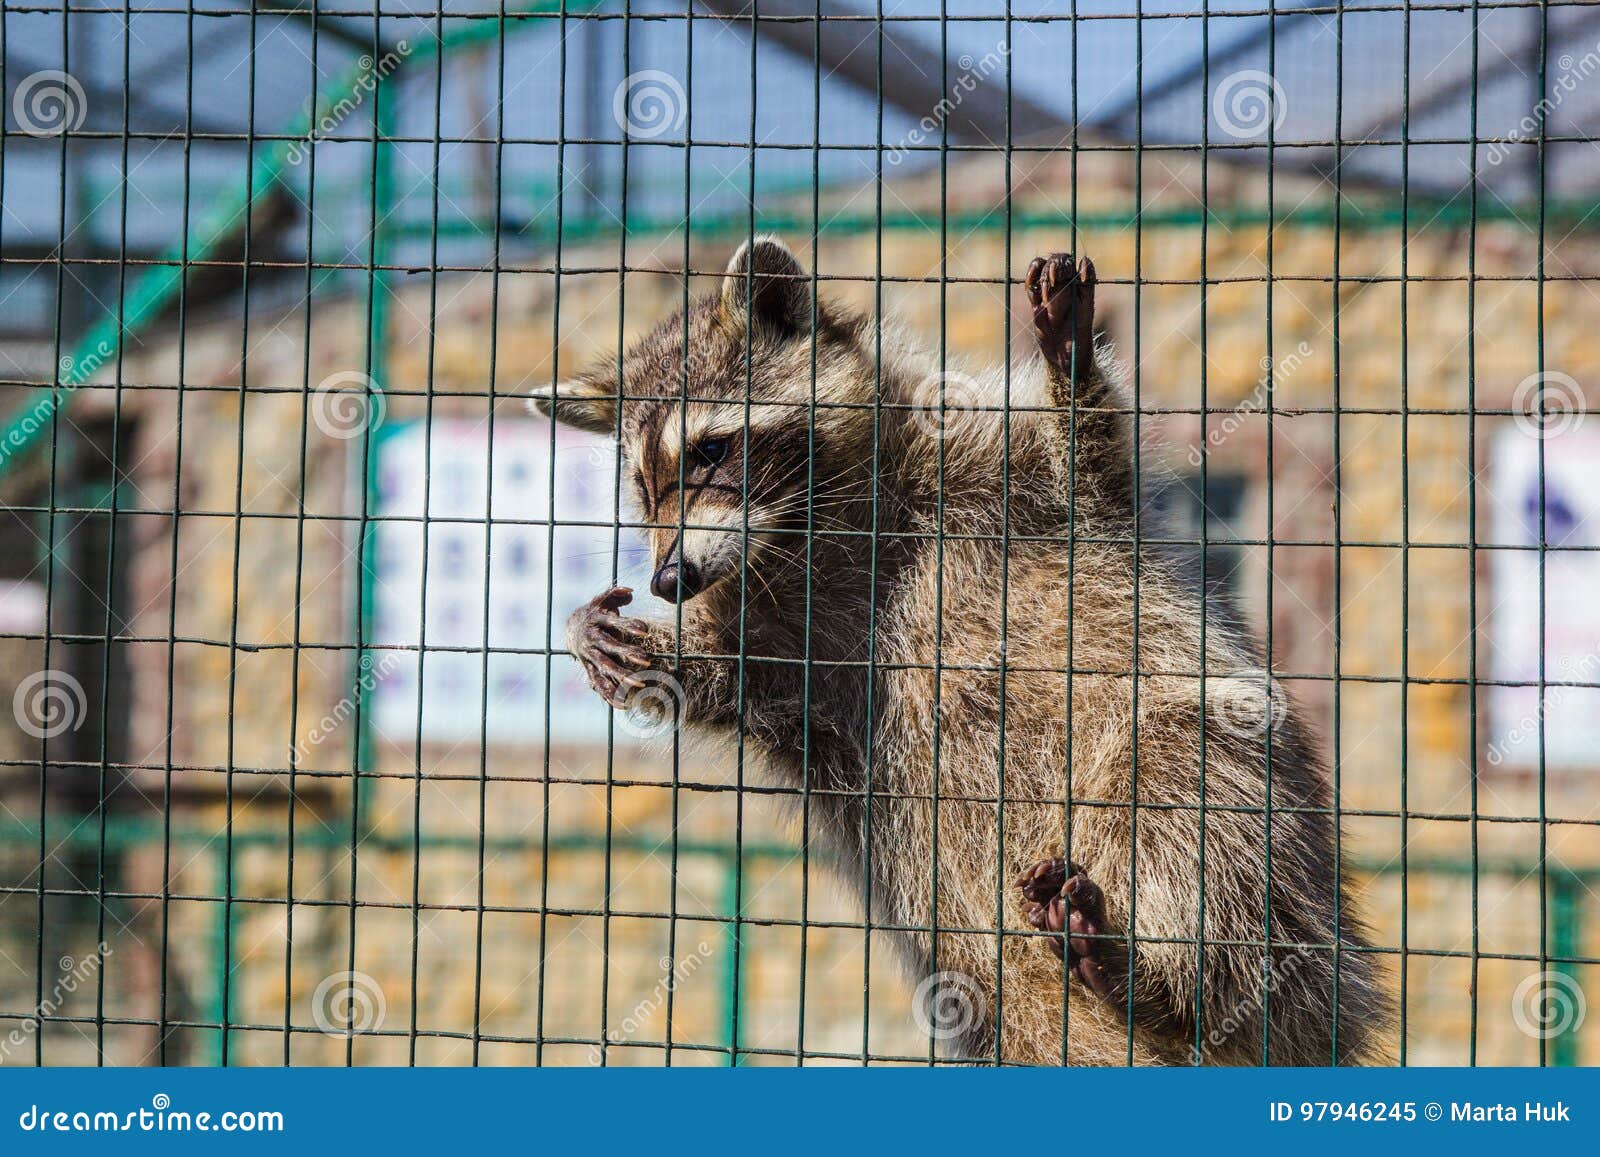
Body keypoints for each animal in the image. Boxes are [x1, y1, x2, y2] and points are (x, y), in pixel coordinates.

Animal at [532, 237, 1389, 1066]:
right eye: (643, 486)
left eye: (710, 451)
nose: (668, 577)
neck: (808, 533)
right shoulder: (781, 639)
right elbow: (723, 673)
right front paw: (610, 639)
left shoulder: (991, 468)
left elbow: (1089, 465)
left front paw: (1071, 367)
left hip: (1219, 818)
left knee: (1192, 796)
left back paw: (1164, 984)